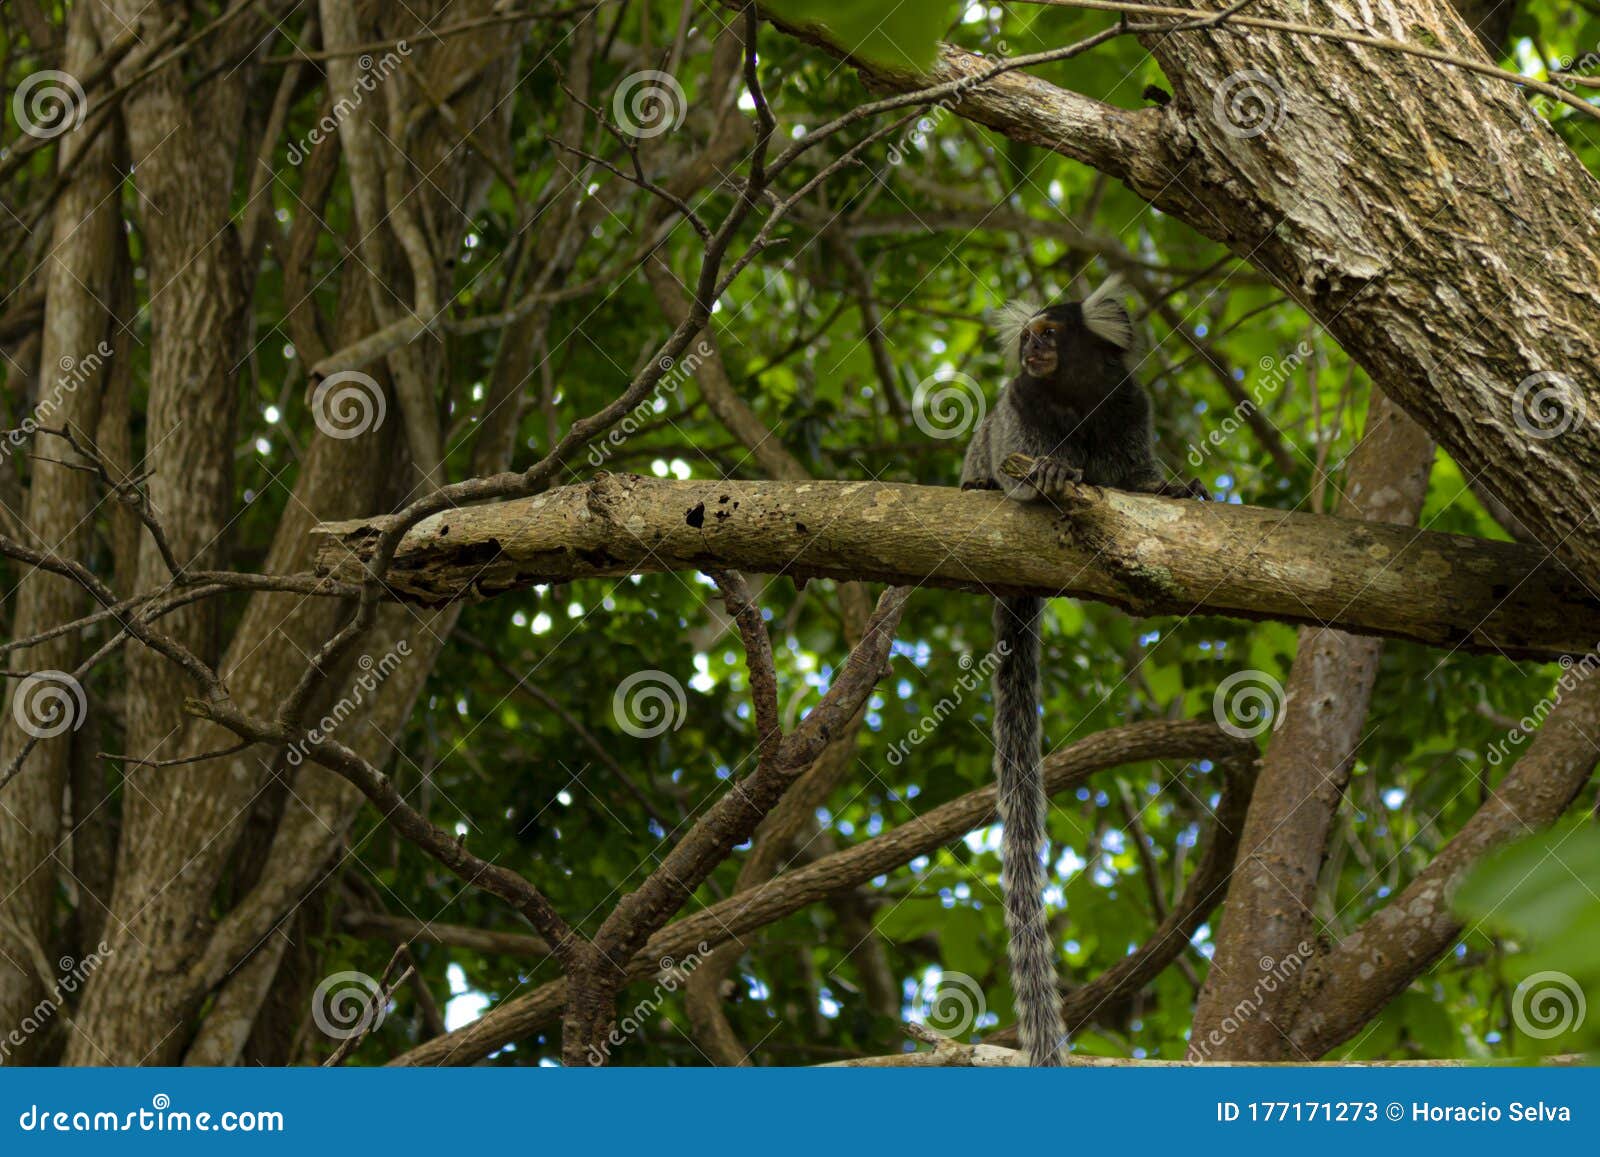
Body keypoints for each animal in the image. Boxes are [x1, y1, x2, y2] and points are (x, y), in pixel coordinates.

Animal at [958, 277, 1205, 1066]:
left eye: (1051, 334)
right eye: (1026, 337)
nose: (1030, 350)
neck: (1071, 394)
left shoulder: (1130, 403)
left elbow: (1136, 475)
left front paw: (1170, 488)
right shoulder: (1019, 408)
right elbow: (1019, 452)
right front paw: (1051, 475)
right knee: (983, 458)